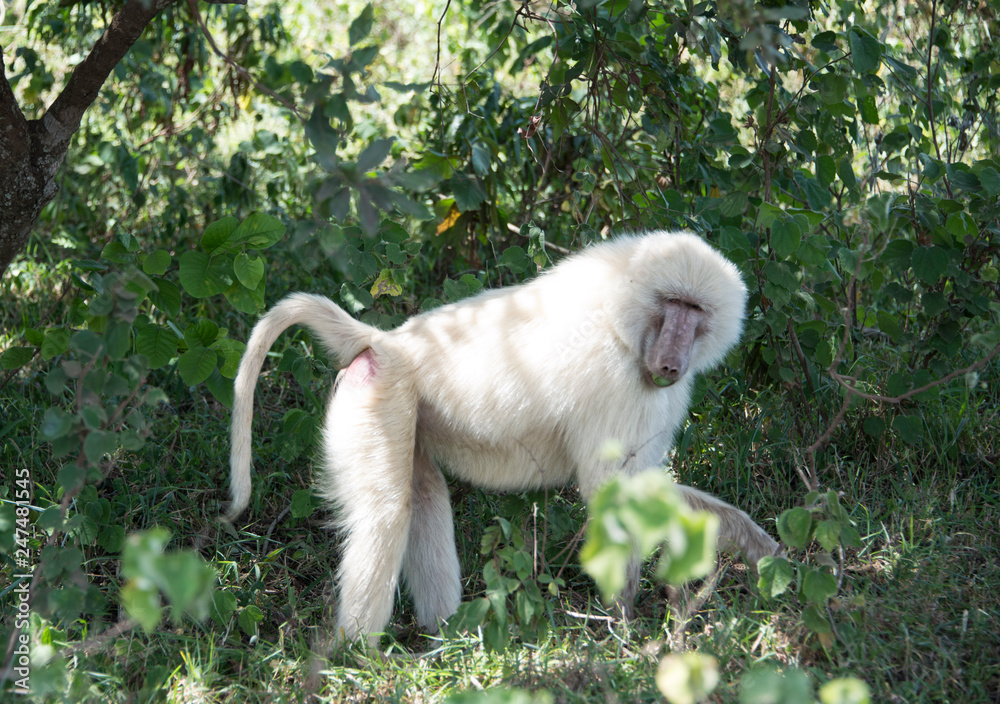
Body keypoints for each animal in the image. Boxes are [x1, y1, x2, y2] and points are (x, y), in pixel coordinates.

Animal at [226, 230, 779, 644]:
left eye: (696, 311)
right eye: (672, 304)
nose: (671, 362)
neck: (624, 314)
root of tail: (388, 343)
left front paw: (761, 550)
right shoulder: (619, 385)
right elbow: (611, 495)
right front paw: (623, 628)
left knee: (422, 496)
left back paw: (444, 637)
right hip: (380, 400)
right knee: (386, 513)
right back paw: (358, 653)